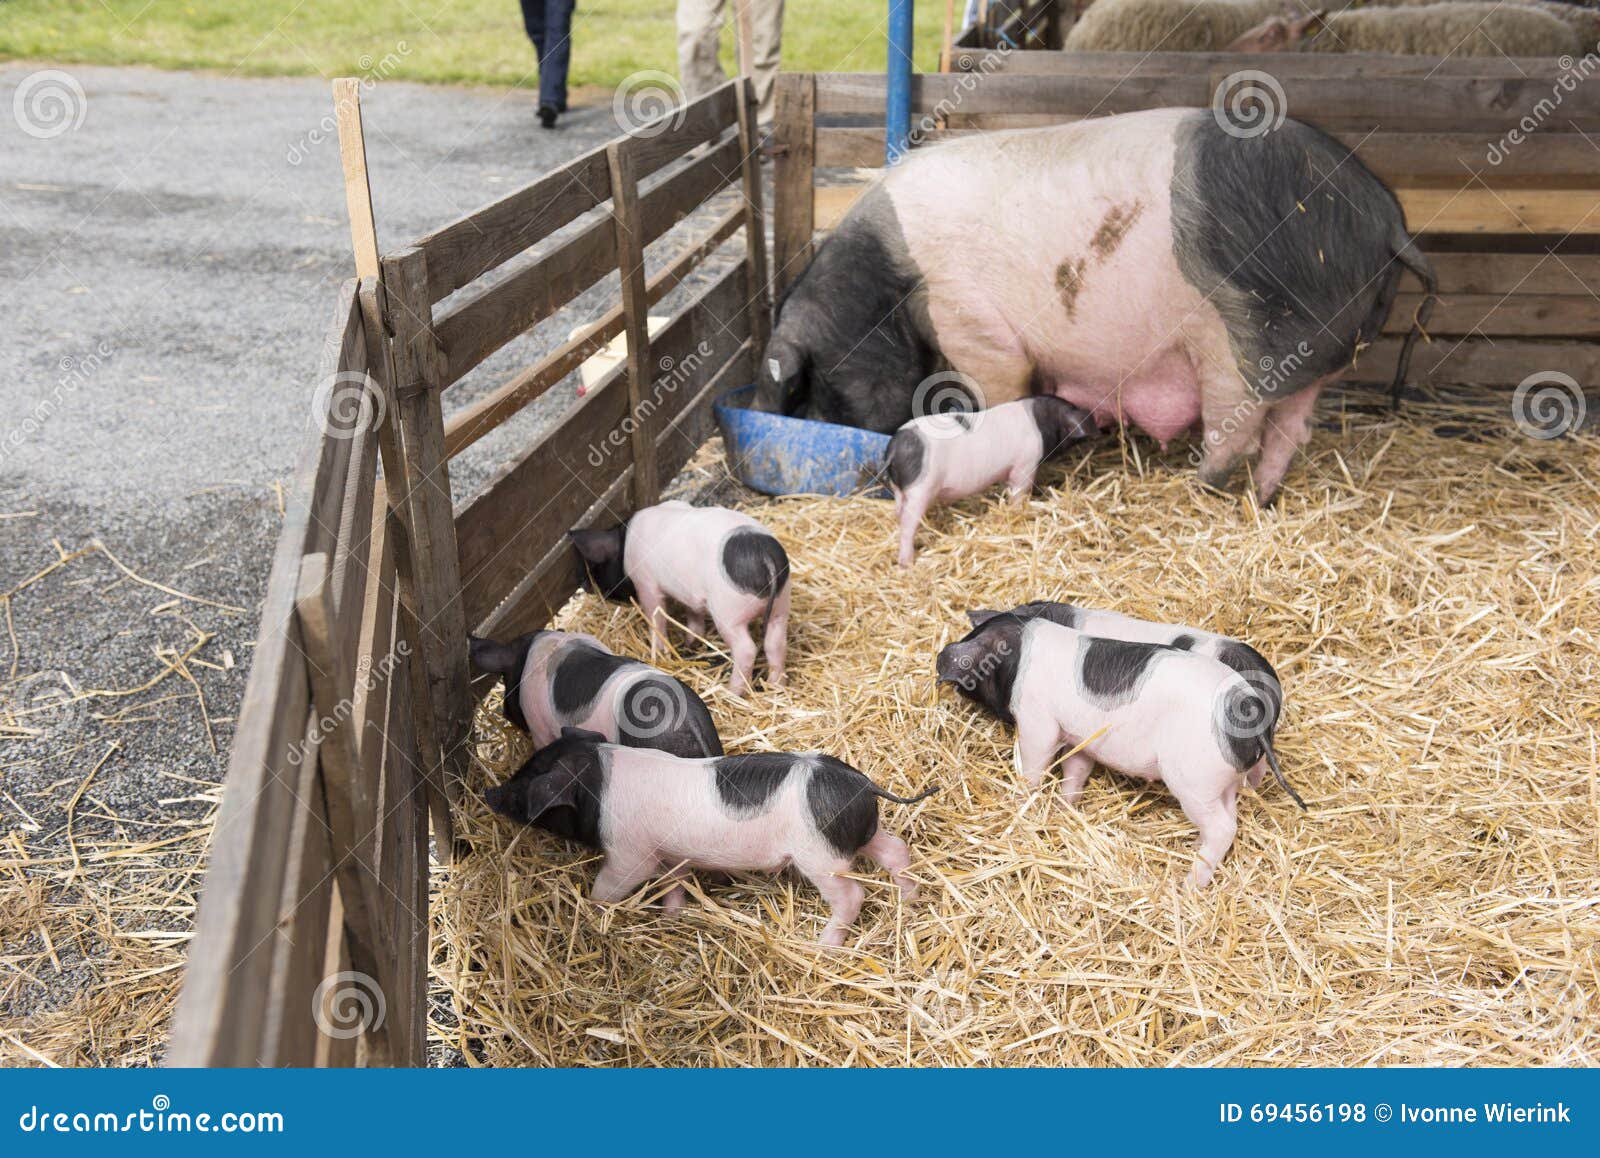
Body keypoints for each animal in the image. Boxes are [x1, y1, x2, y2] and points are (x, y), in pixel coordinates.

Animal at [485, 727, 937, 946]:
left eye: (530, 780)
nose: (490, 793)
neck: (597, 784)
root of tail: (862, 784)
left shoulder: (631, 854)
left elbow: (610, 885)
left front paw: (595, 910)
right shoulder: (668, 854)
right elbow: (675, 884)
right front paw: (671, 918)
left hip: (822, 856)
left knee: (852, 896)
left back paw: (822, 946)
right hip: (857, 836)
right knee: (896, 851)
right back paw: (909, 901)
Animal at [569, 501, 791, 694]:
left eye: (597, 568)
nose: (588, 588)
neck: (624, 543)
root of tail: (763, 556)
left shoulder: (646, 583)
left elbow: (655, 615)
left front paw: (658, 650)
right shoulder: (690, 593)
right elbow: (693, 612)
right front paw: (691, 641)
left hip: (729, 613)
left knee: (746, 649)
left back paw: (732, 692)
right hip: (780, 605)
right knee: (775, 643)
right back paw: (776, 686)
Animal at [755, 108, 1437, 502]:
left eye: (826, 374)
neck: (891, 286)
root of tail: (1384, 220)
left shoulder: (971, 322)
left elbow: (1003, 388)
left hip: (1240, 340)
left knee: (1237, 428)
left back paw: (1201, 490)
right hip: (1317, 356)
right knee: (1289, 431)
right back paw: (1262, 498)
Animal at [886, 396, 1097, 566]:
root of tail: (895, 447)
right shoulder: (1024, 465)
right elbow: (1019, 491)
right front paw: (1018, 510)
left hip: (899, 489)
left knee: (899, 511)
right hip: (920, 489)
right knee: (907, 524)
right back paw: (907, 563)